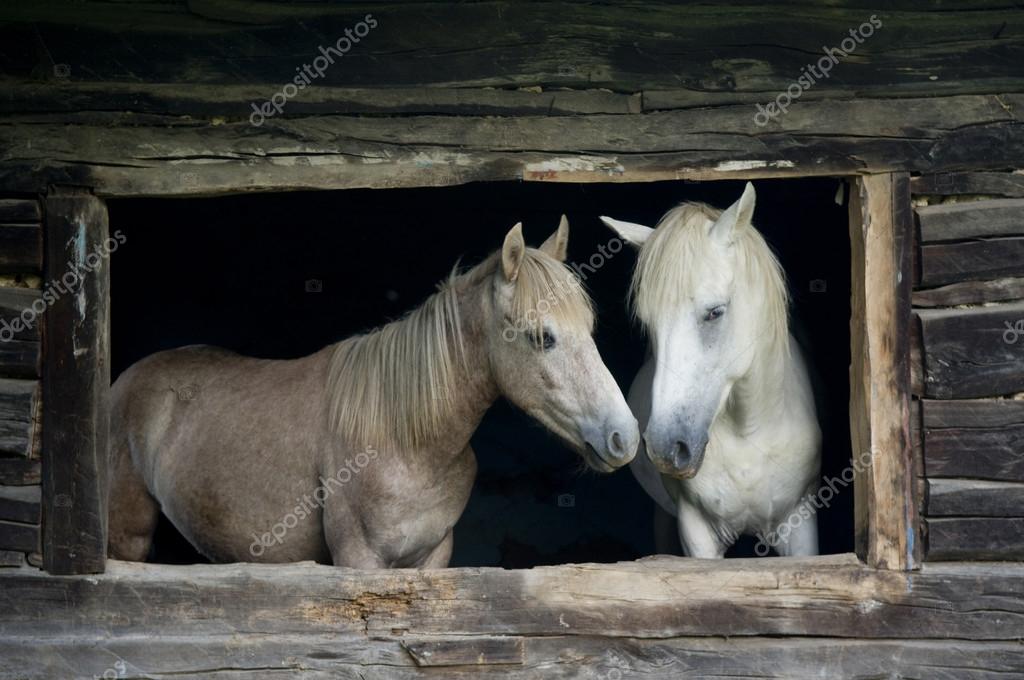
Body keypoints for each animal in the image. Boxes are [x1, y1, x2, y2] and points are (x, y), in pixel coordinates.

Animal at [108, 218, 640, 568]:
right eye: (541, 337)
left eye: (590, 329)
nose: (624, 437)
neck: (406, 440)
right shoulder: (359, 561)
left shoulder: (433, 559)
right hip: (128, 537)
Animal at [601, 183, 821, 558]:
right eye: (648, 325)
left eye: (715, 312)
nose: (666, 447)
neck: (748, 434)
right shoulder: (697, 533)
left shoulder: (801, 525)